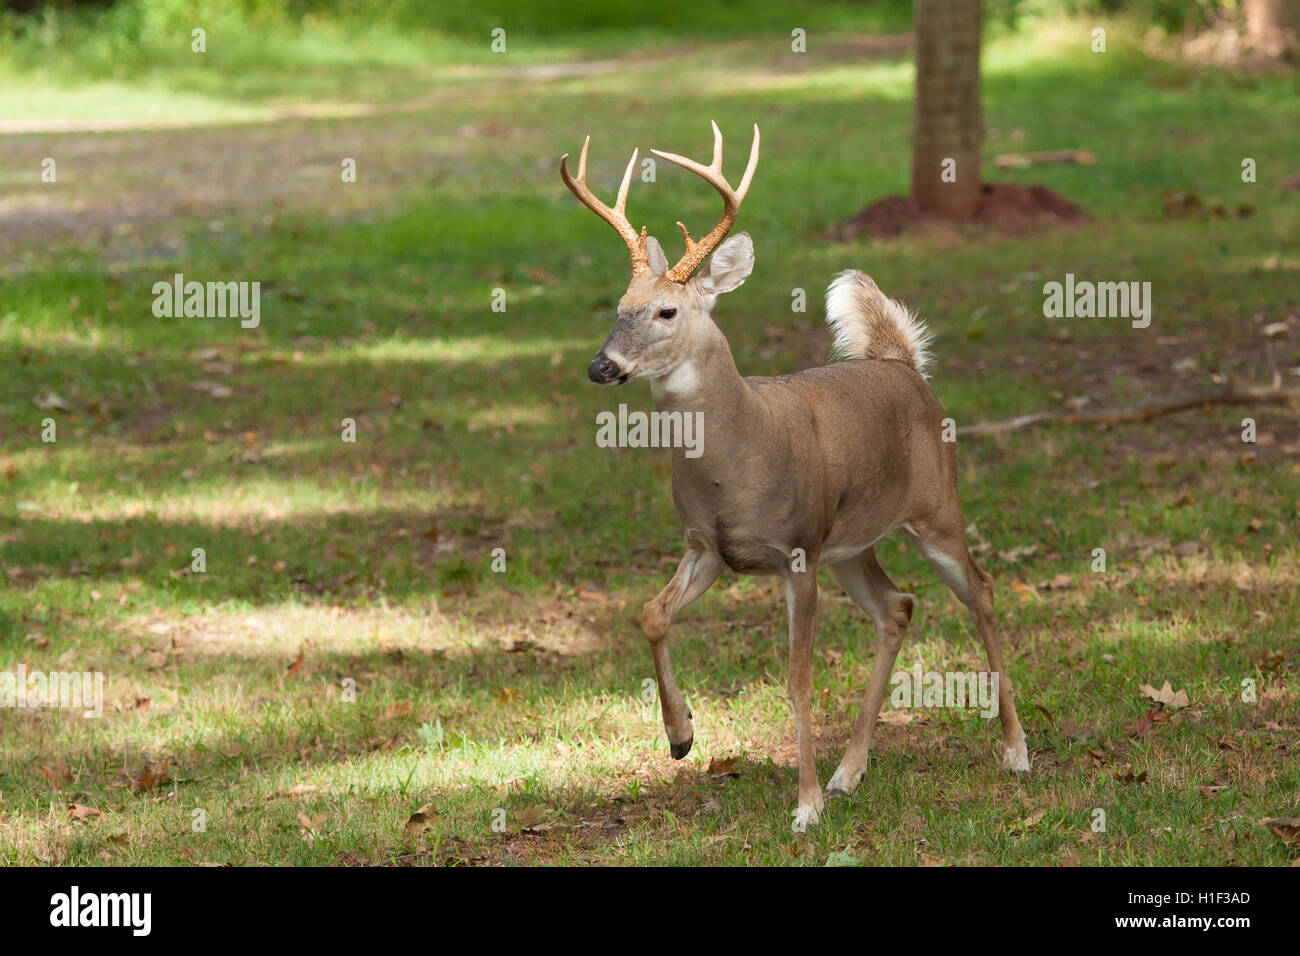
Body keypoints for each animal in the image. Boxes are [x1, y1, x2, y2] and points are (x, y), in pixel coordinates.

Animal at [559, 122, 1030, 829]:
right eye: (620, 305)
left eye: (667, 312)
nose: (601, 366)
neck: (736, 460)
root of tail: (903, 363)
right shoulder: (708, 545)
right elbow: (651, 614)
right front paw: (681, 734)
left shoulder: (798, 550)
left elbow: (798, 678)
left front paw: (805, 808)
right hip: (852, 543)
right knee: (898, 606)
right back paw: (849, 771)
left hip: (935, 507)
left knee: (981, 589)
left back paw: (1014, 750)